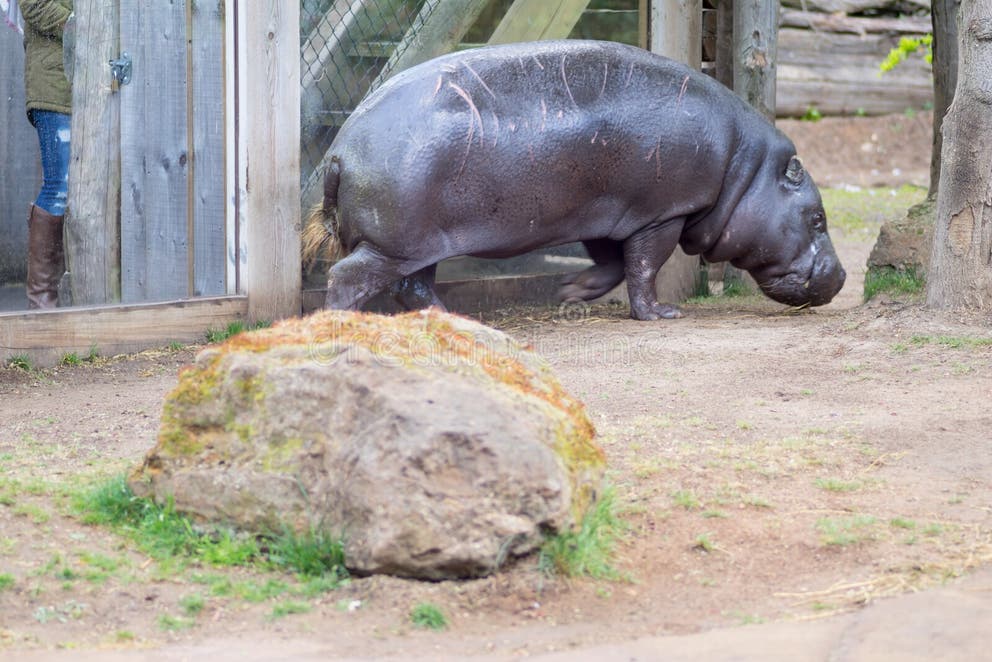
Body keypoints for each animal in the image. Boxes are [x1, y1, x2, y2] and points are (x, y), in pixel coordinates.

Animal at [304, 39, 845, 320]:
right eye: (818, 219)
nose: (841, 276)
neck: (745, 166)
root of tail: (339, 151)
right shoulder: (661, 214)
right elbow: (644, 267)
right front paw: (662, 315)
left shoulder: (606, 212)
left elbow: (611, 264)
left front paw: (571, 291)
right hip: (393, 241)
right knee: (347, 277)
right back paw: (341, 323)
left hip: (416, 242)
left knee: (412, 287)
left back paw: (454, 319)